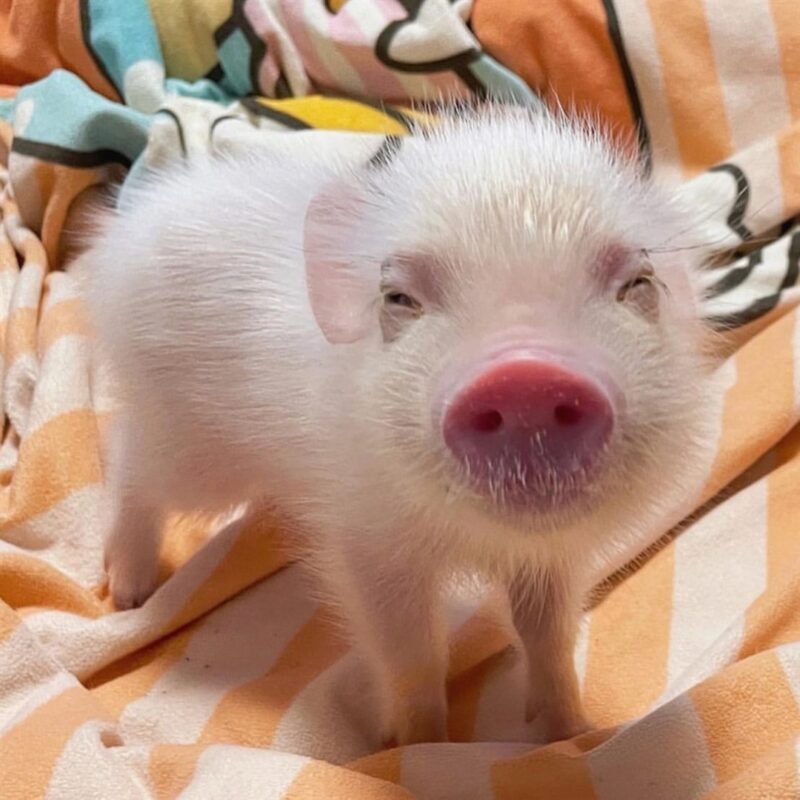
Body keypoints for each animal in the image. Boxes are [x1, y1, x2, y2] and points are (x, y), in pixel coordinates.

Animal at [81, 103, 715, 745]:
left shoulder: (556, 558)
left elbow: (549, 634)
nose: (526, 376)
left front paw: (575, 734)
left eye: (637, 284)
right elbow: (410, 651)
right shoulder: (368, 540)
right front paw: (416, 747)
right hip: (192, 444)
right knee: (130, 462)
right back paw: (128, 596)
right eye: (399, 298)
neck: (476, 539)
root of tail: (119, 246)